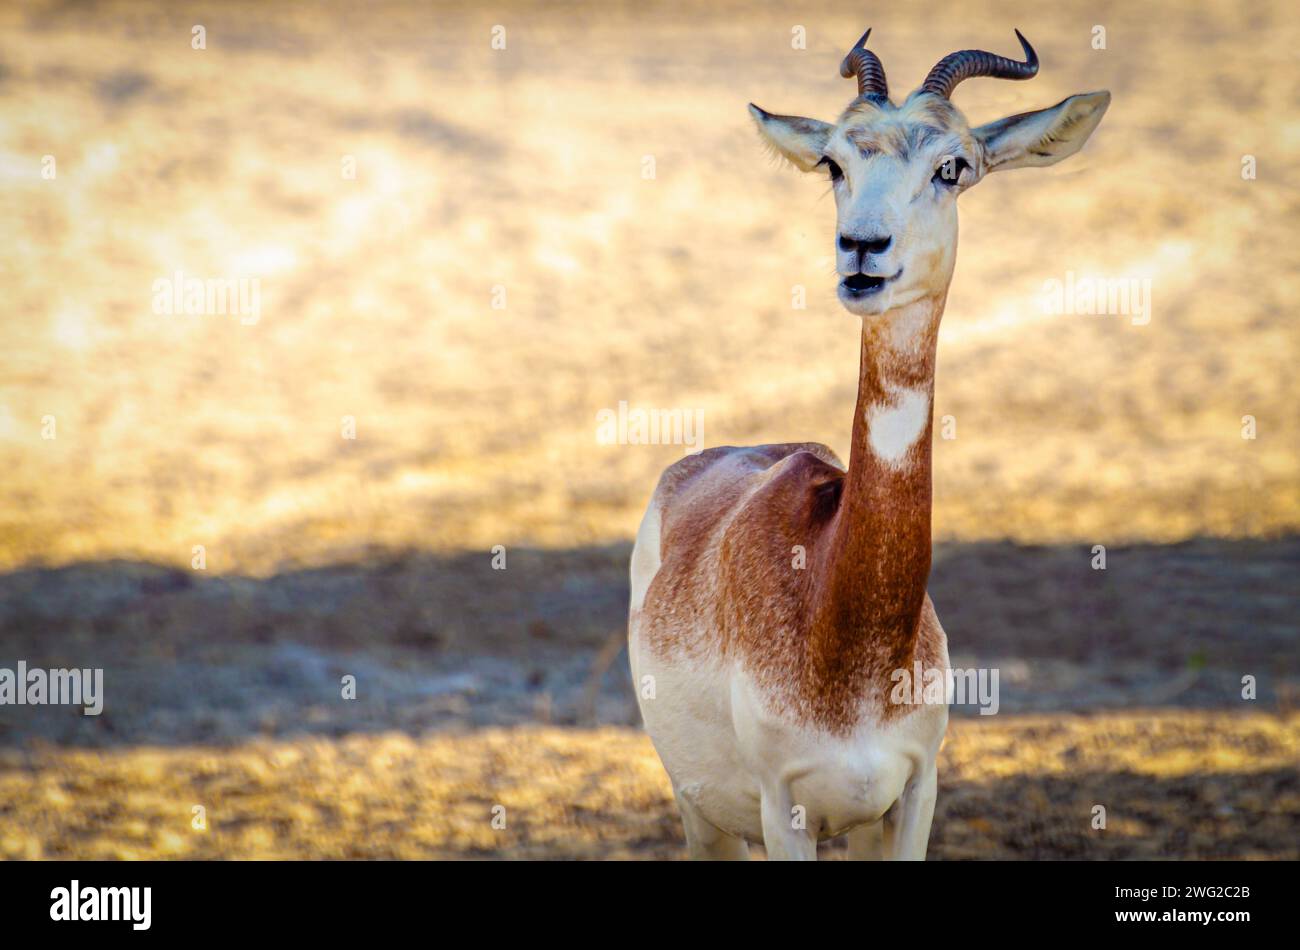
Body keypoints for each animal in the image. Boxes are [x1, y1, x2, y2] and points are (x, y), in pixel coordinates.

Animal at [628, 29, 1108, 860]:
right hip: (705, 816)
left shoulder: (911, 794)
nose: (862, 248)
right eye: (833, 163)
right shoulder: (782, 809)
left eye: (954, 166)